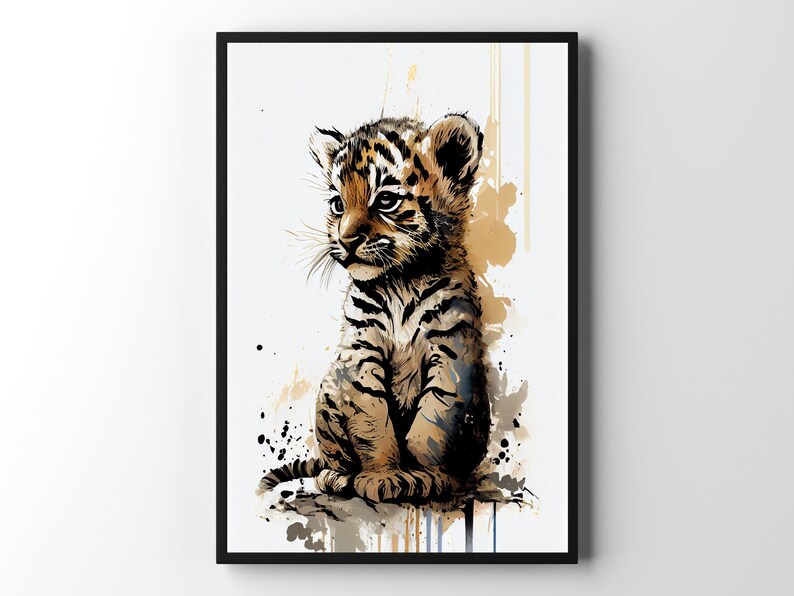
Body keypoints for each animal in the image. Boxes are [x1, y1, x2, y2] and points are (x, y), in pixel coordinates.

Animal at [257, 113, 490, 503]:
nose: (346, 240)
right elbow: (371, 416)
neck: (401, 281)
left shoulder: (451, 348)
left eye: (386, 200)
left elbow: (434, 419)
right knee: (330, 459)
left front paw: (425, 475)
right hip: (327, 395)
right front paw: (382, 476)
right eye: (338, 204)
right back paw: (337, 477)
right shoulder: (360, 349)